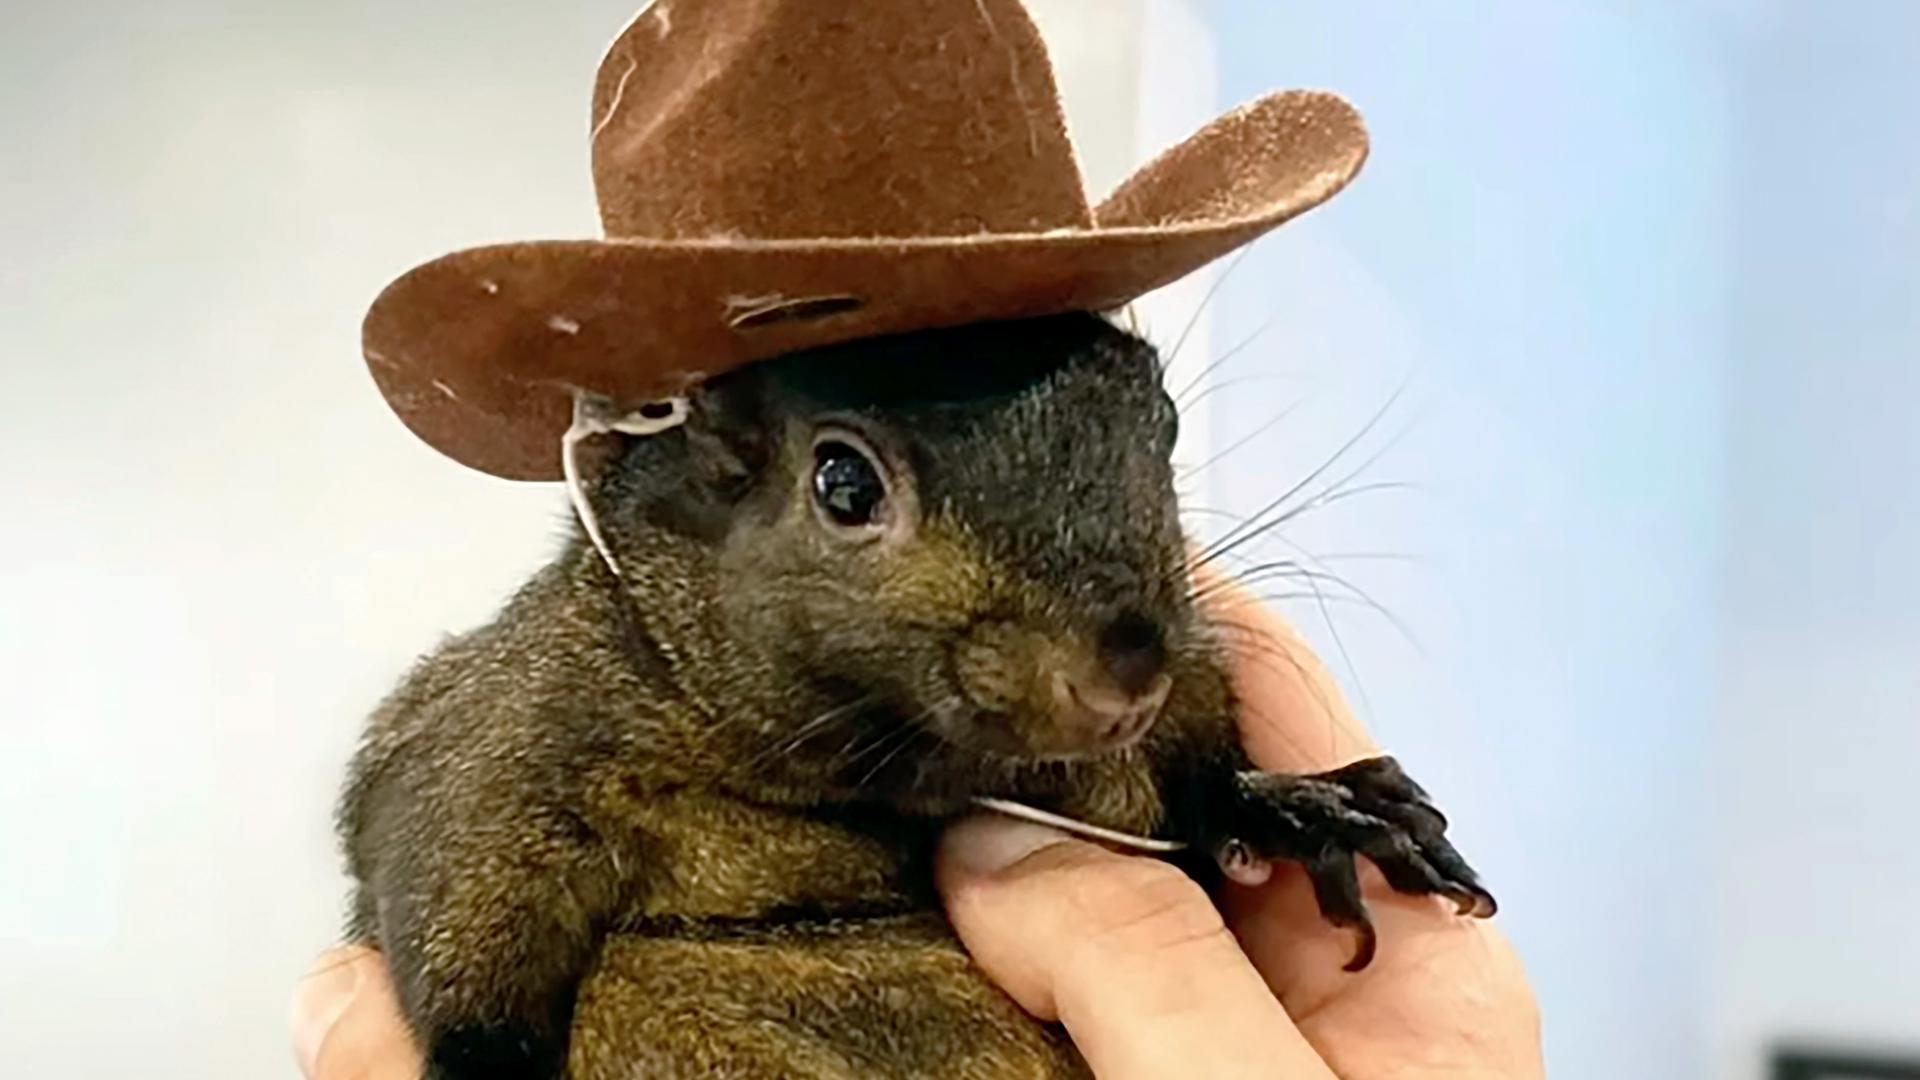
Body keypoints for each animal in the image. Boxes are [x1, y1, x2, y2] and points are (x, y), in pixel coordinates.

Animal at [337, 311, 1495, 1080]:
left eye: (1161, 421)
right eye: (842, 483)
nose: (1128, 671)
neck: (882, 771)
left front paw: (1309, 808)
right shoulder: (497, 753)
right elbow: (463, 964)